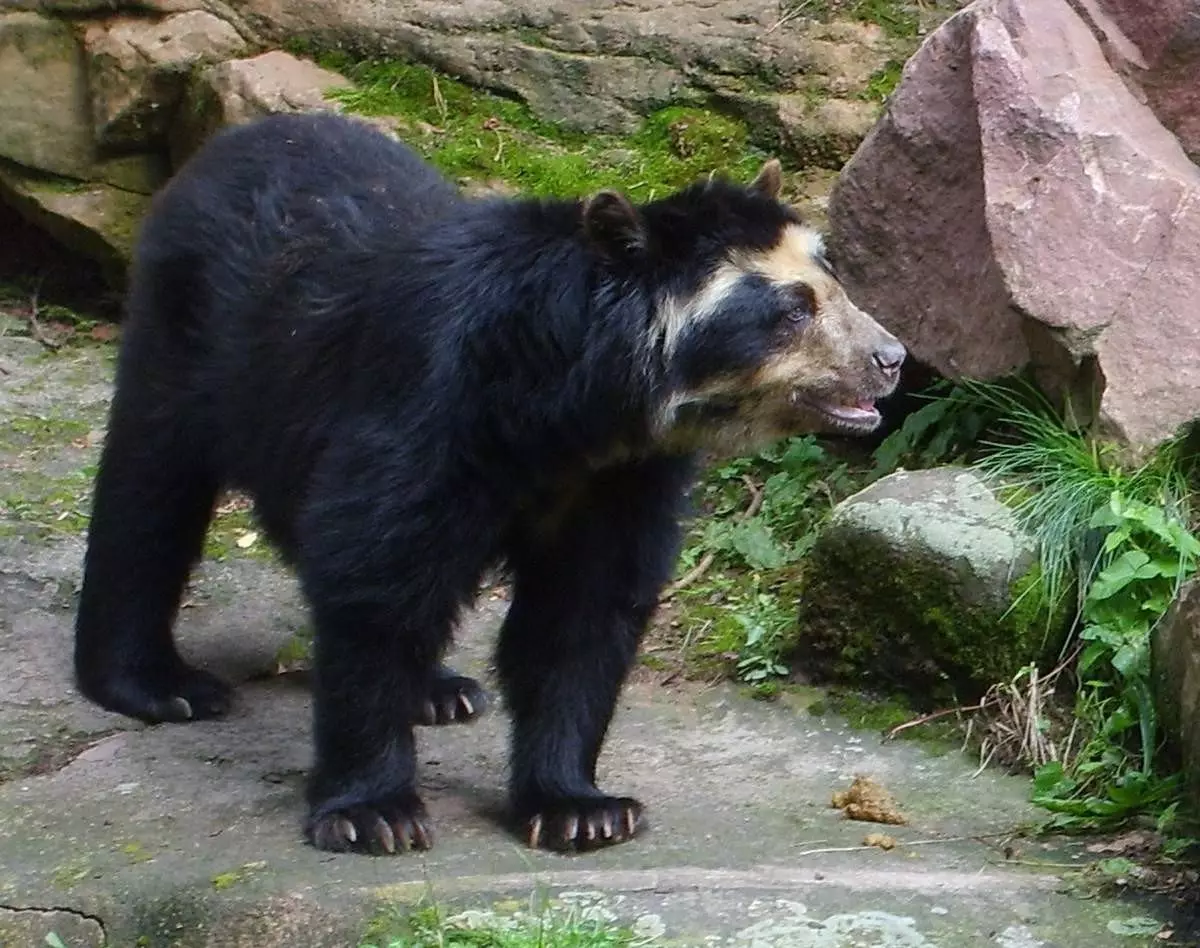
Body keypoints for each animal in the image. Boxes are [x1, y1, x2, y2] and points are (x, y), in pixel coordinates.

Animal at [72, 109, 902, 854]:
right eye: (790, 309)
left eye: (834, 282)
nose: (890, 358)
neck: (564, 414)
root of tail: (230, 142)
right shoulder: (426, 412)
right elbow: (374, 580)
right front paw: (374, 814)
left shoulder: (617, 478)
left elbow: (583, 610)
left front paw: (582, 810)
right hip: (188, 335)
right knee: (149, 493)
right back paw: (160, 683)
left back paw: (439, 690)